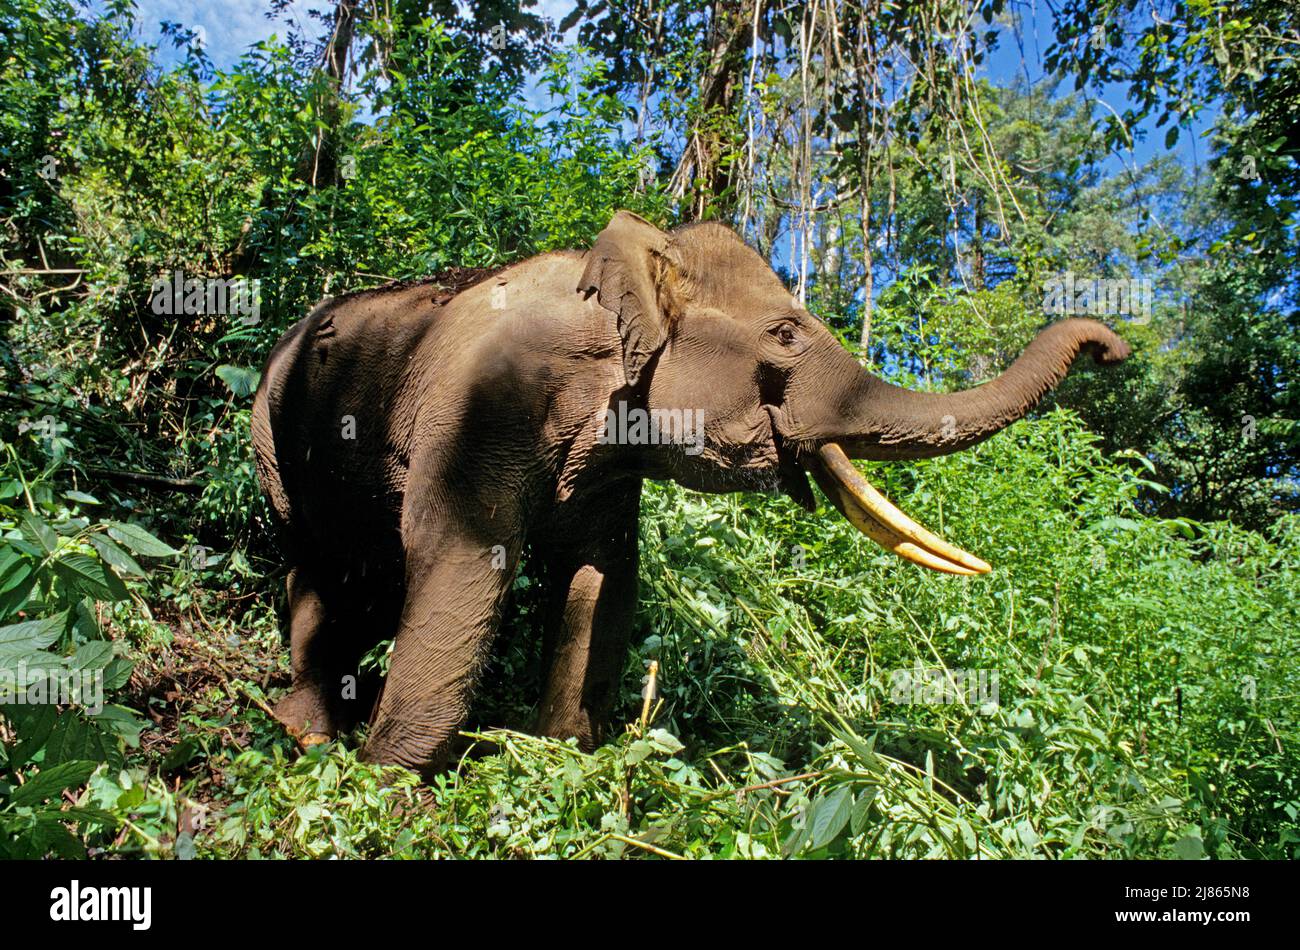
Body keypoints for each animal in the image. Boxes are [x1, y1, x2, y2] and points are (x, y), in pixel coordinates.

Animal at [251, 210, 1131, 776]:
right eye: (786, 334)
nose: (1114, 349)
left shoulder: (607, 457)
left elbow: (603, 576)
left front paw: (564, 766)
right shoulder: (488, 400)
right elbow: (463, 556)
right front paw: (392, 790)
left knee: (357, 570)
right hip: (272, 430)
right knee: (328, 562)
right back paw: (315, 743)